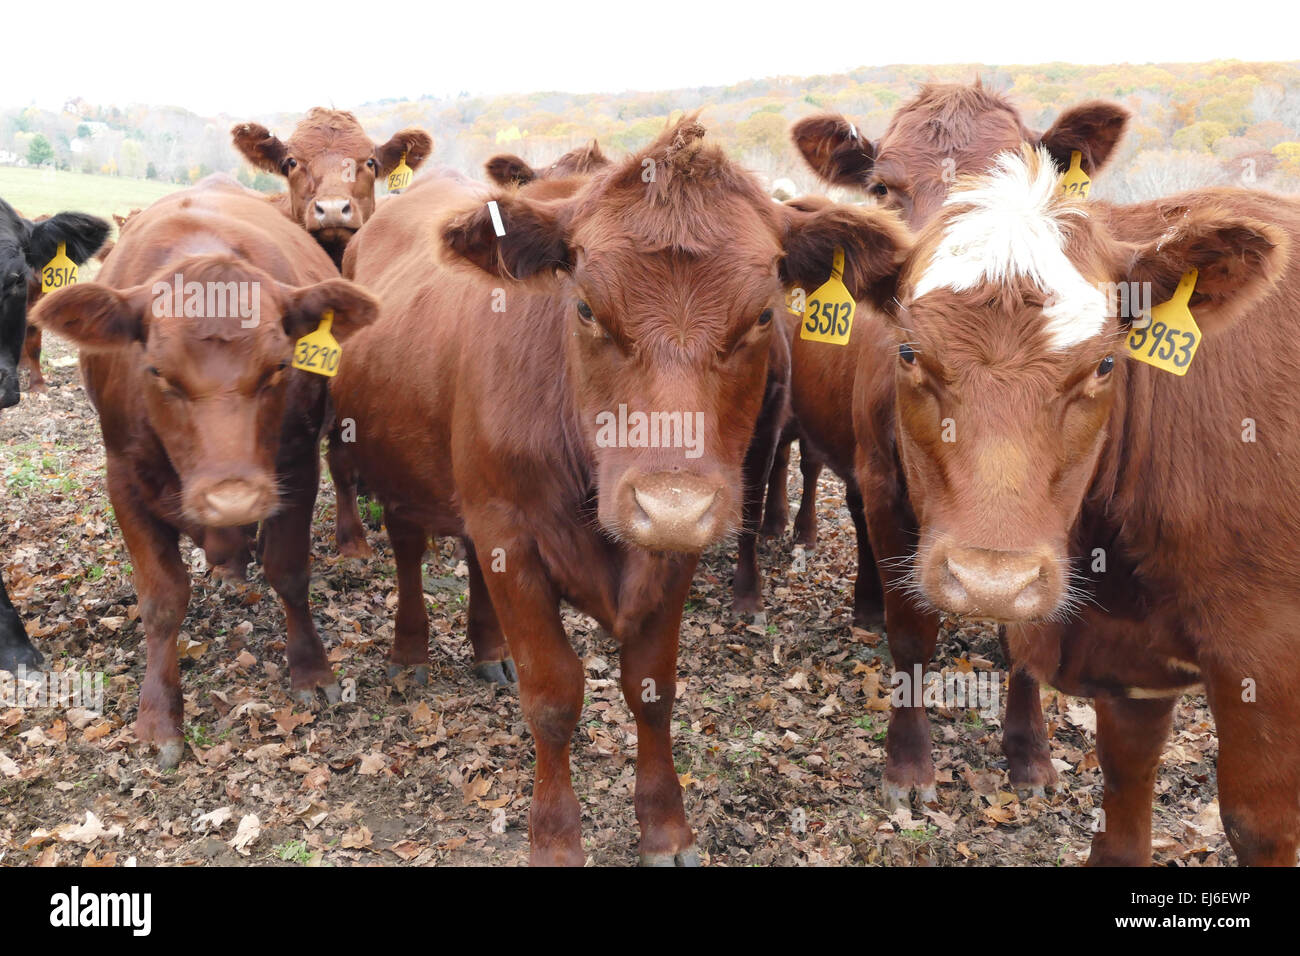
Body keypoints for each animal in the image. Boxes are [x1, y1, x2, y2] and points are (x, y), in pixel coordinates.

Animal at [30, 176, 378, 768]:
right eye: (156, 371)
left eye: (279, 366)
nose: (232, 498)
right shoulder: (124, 477)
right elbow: (162, 600)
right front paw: (157, 715)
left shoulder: (295, 464)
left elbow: (290, 570)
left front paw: (311, 669)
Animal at [331, 116, 910, 864]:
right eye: (583, 306)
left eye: (762, 316)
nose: (671, 505)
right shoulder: (513, 538)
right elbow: (553, 698)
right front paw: (555, 839)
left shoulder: (666, 554)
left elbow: (652, 690)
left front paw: (666, 827)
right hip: (401, 468)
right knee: (407, 547)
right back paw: (409, 654)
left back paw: (489, 652)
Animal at [788, 83, 1129, 805]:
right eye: (883, 187)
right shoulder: (886, 483)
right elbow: (911, 631)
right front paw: (909, 764)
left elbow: (1026, 629)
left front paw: (1030, 755)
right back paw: (865, 602)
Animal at [857, 145, 1297, 865]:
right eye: (908, 351)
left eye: (1104, 366)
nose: (993, 580)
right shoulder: (1132, 669)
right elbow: (1122, 803)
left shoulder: (1266, 663)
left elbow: (1258, 823)